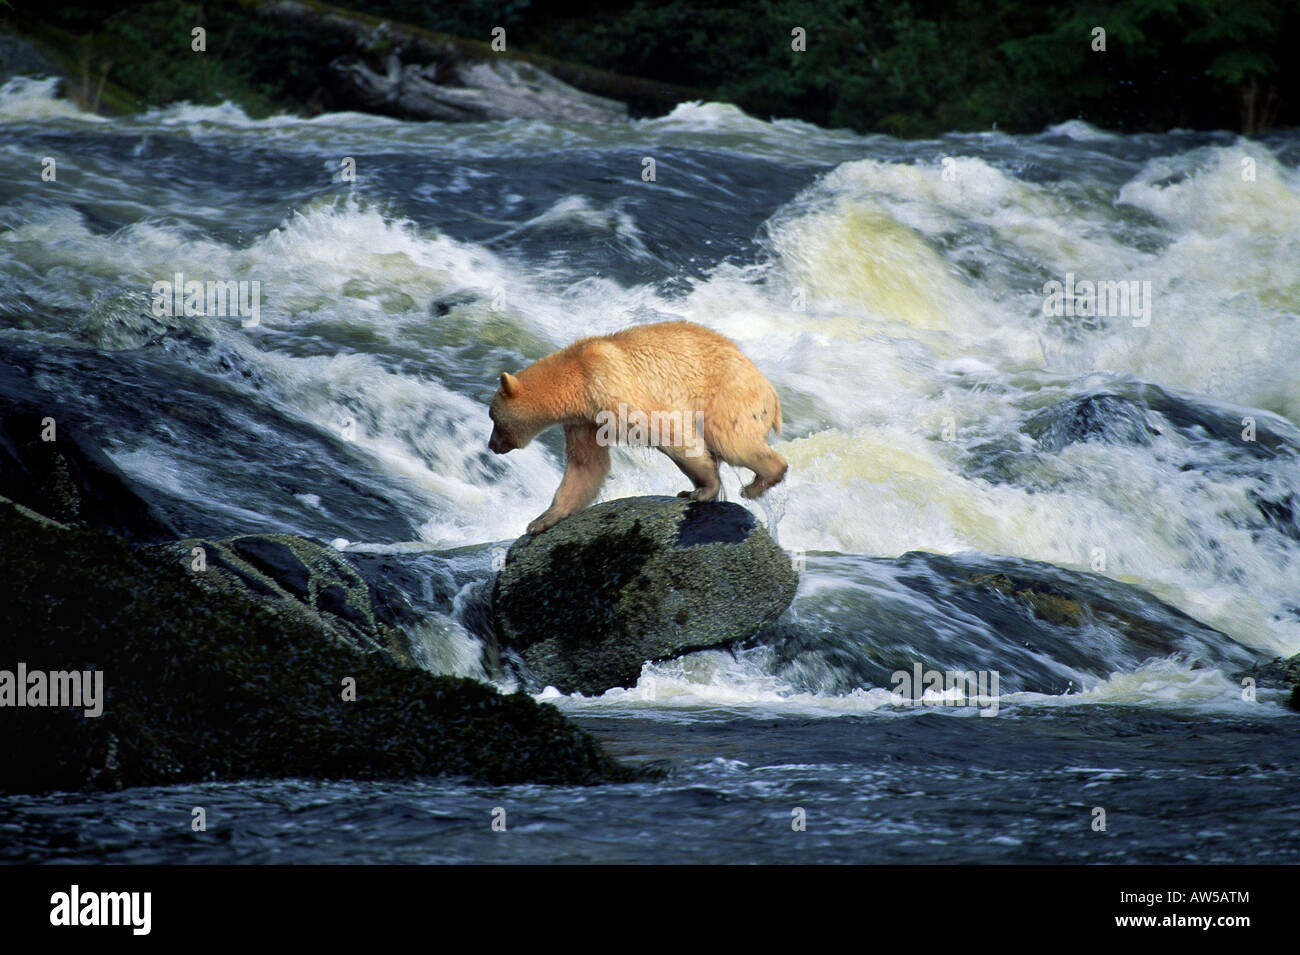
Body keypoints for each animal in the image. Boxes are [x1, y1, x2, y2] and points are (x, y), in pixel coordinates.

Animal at [488, 320, 787, 534]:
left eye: (493, 419)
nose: (491, 446)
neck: (577, 382)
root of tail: (770, 390)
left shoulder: (611, 386)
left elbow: (667, 429)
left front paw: (701, 489)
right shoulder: (584, 421)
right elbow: (585, 465)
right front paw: (541, 520)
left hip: (729, 397)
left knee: (731, 440)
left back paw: (757, 483)